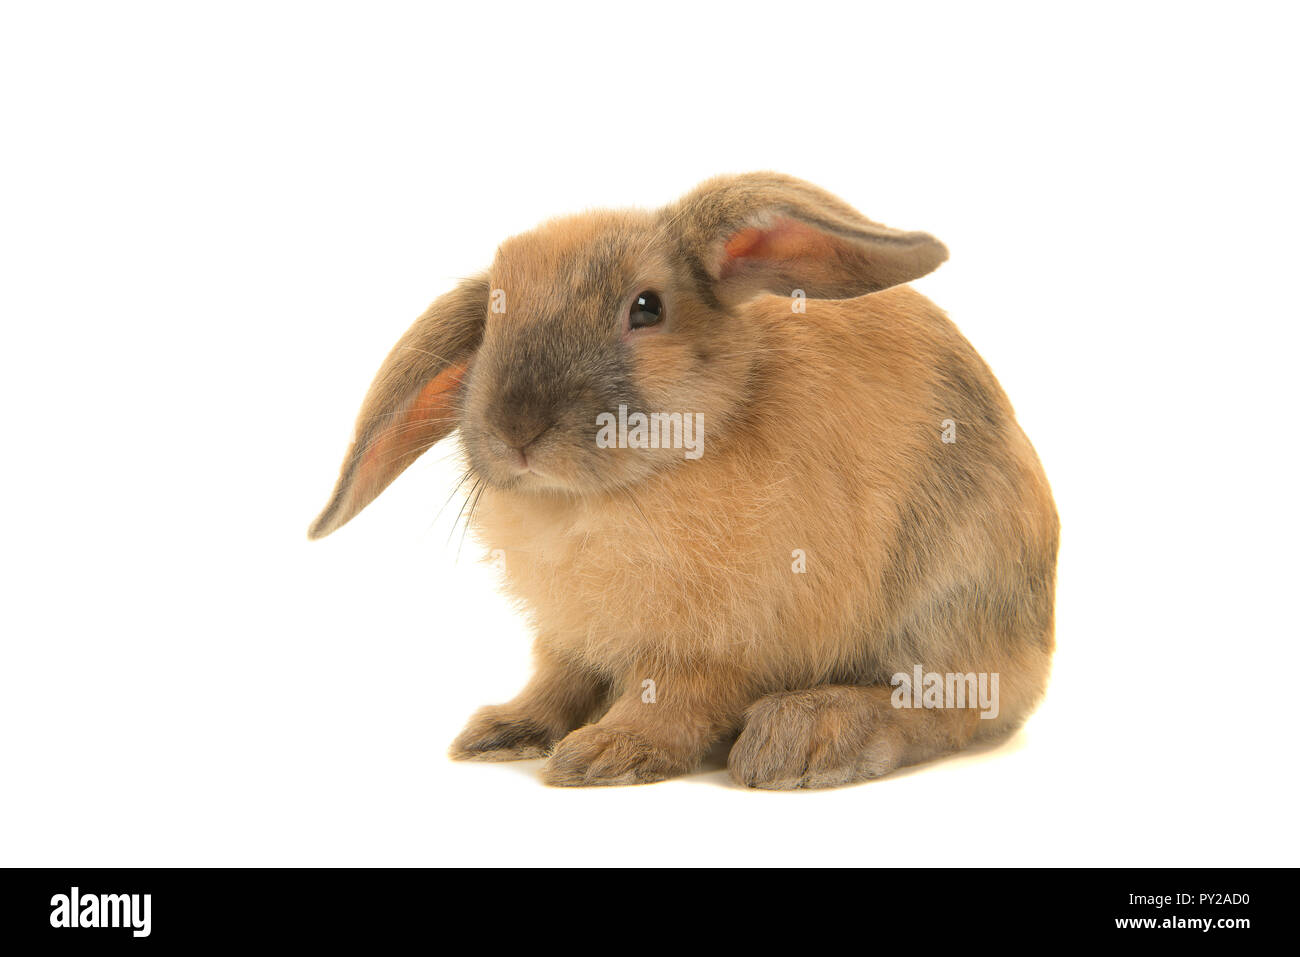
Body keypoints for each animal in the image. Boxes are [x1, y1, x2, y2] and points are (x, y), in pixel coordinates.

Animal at [309, 172, 1059, 789]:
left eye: (646, 307)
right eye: (492, 318)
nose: (517, 428)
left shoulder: (711, 646)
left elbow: (673, 699)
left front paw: (605, 752)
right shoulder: (570, 639)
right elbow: (556, 680)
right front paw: (504, 730)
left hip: (947, 600)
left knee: (945, 708)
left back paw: (805, 737)